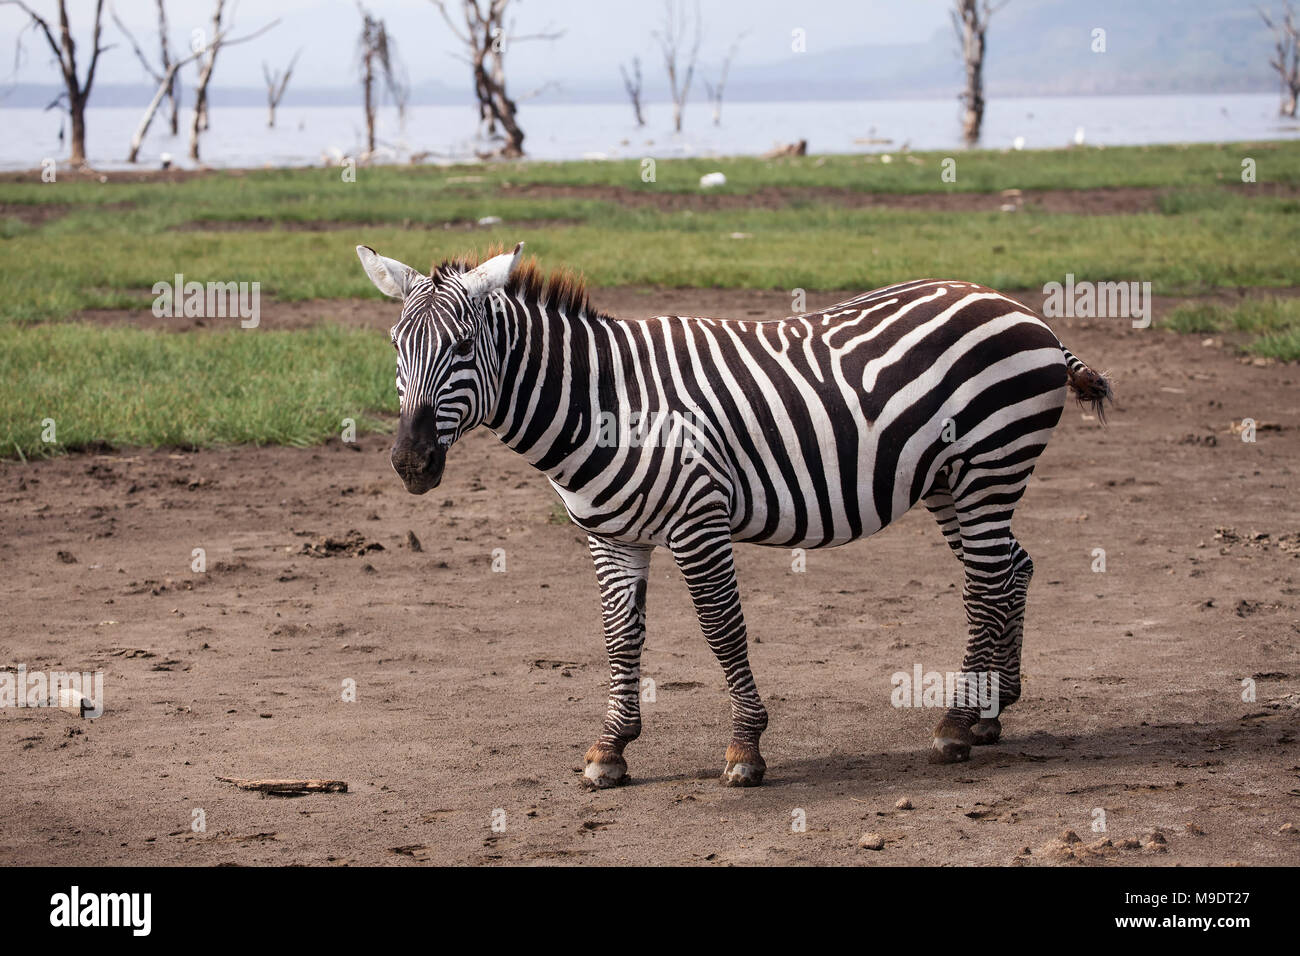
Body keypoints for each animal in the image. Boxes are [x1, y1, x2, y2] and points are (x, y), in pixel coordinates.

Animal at [356, 241, 1112, 788]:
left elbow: (723, 632)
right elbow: (620, 639)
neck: (605, 405)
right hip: (951, 482)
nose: (411, 462)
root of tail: (1018, 309)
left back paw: (956, 726)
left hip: (990, 465)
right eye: (395, 347)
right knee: (1011, 569)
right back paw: (991, 710)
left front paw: (745, 748)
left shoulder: (699, 520)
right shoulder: (610, 536)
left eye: (462, 347)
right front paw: (610, 749)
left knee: (984, 586)